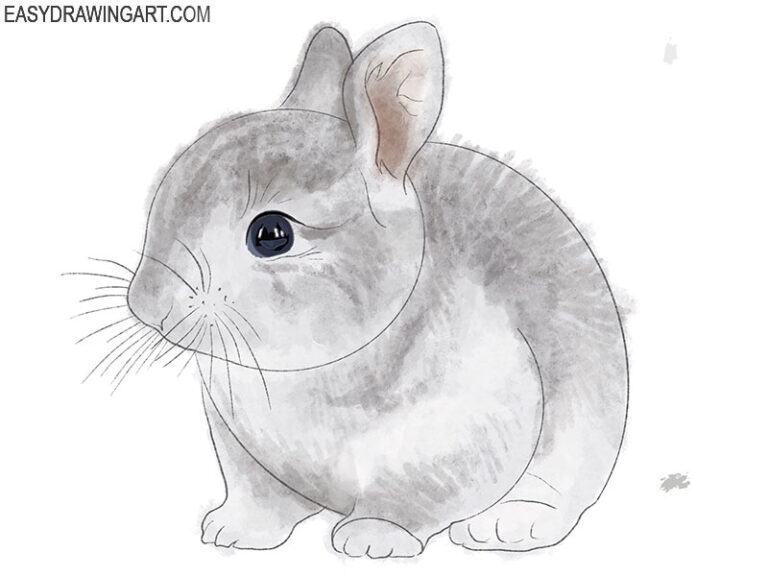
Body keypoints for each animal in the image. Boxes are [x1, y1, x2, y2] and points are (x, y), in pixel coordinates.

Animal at [125, 22, 628, 558]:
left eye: (271, 235)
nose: (146, 303)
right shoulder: (246, 457)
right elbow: (261, 500)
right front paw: (233, 533)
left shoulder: (446, 444)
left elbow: (407, 501)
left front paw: (371, 540)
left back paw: (503, 526)